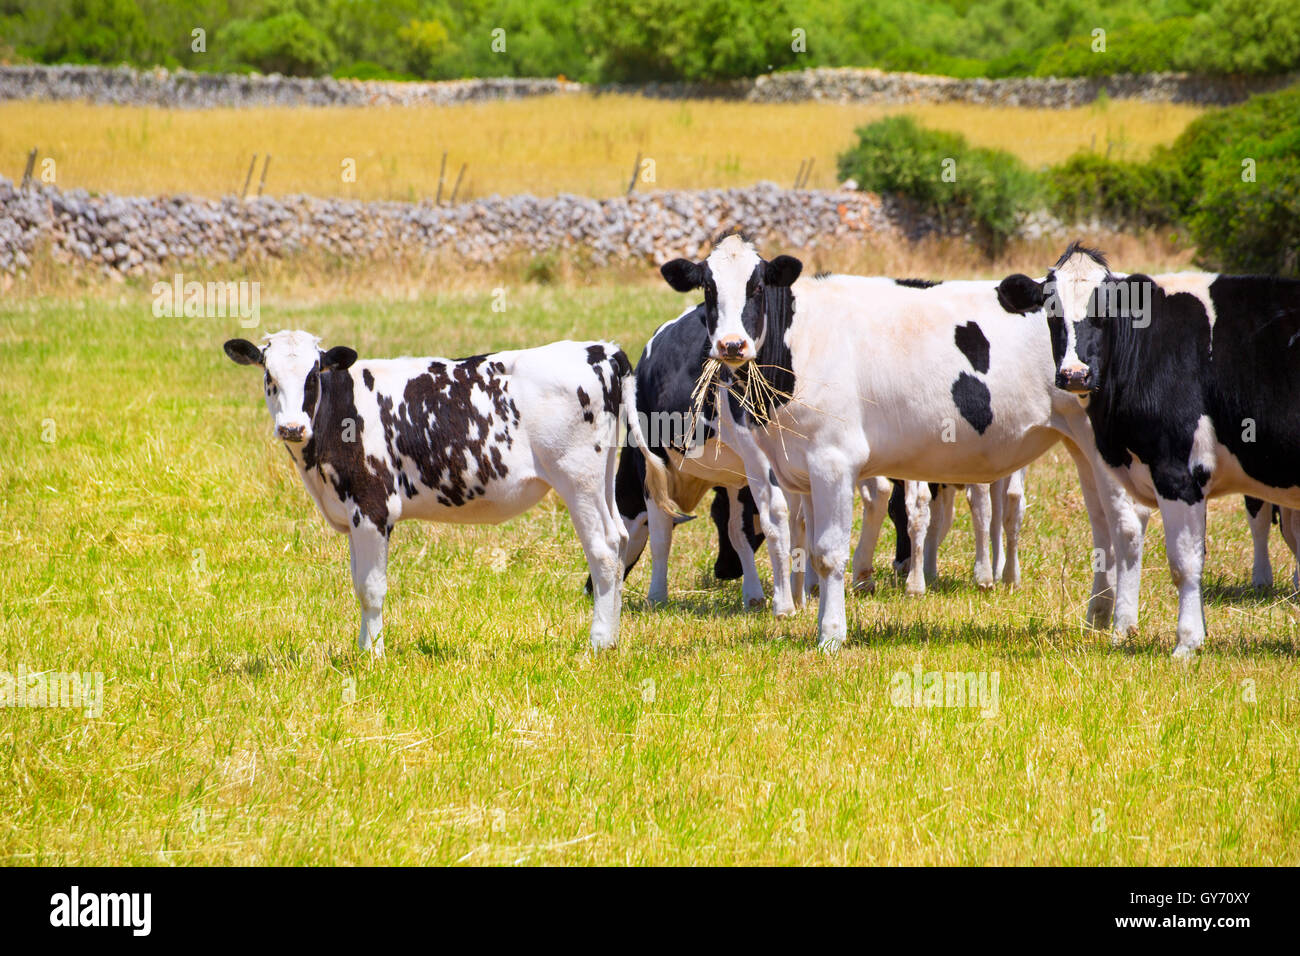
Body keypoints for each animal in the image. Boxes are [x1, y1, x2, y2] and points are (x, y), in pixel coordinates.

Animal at [223, 330, 674, 654]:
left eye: (313, 375)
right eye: (268, 376)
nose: (291, 427)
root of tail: (601, 350)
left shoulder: (372, 506)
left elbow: (371, 588)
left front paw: (373, 657)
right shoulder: (353, 514)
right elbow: (358, 582)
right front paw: (363, 650)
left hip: (577, 475)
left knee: (603, 549)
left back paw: (597, 644)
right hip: (602, 476)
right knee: (621, 540)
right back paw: (612, 639)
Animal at [658, 235, 1149, 650]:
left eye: (757, 287)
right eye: (708, 289)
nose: (732, 345)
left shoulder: (833, 460)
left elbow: (829, 553)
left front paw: (831, 636)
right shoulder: (797, 467)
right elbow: (807, 545)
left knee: (1128, 523)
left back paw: (1121, 626)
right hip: (1083, 449)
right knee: (1103, 523)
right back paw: (1097, 615)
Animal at [996, 243, 1300, 656]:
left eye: (1105, 310)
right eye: (1050, 310)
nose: (1075, 375)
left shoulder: (1176, 471)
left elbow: (1183, 563)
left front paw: (1186, 644)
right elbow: (1175, 551)